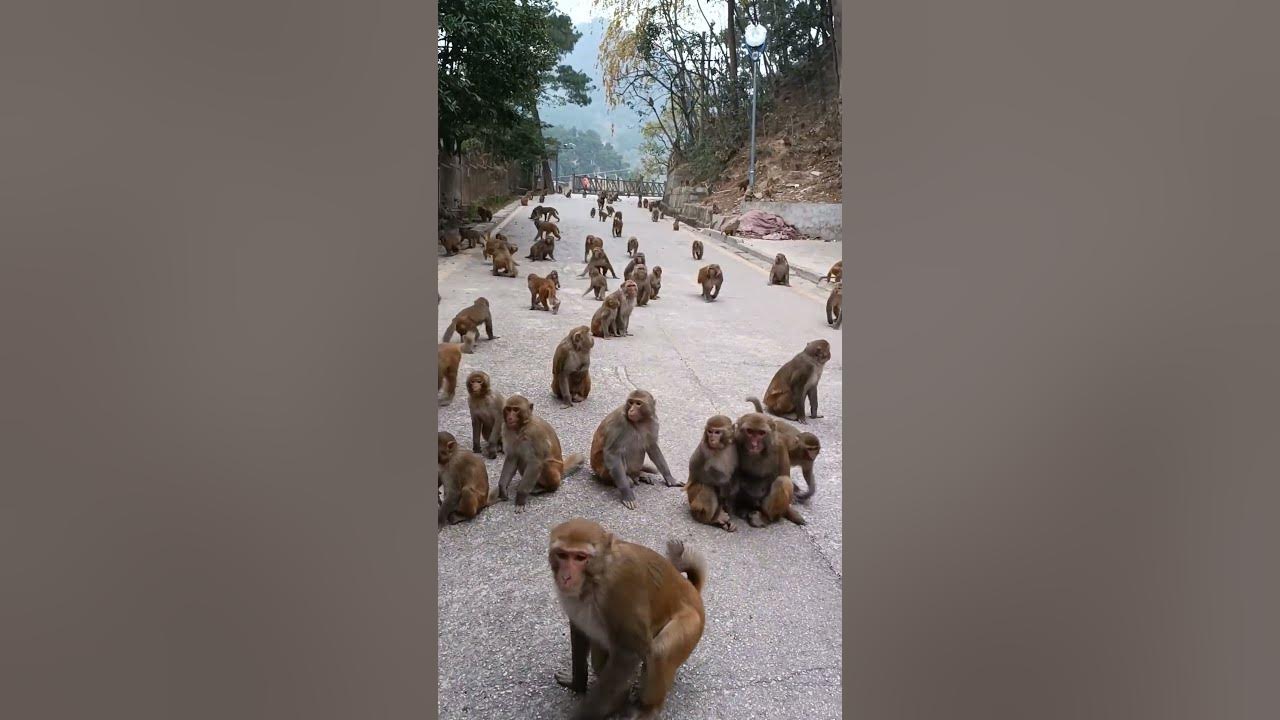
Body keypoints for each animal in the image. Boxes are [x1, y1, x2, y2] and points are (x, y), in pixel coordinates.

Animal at [549, 518, 706, 720]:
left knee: (659, 651)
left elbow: (628, 653)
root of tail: (692, 591)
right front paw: (577, 684)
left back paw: (647, 708)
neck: (596, 578)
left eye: (580, 557)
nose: (566, 577)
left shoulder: (621, 589)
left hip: (692, 624)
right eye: (562, 555)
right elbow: (579, 631)